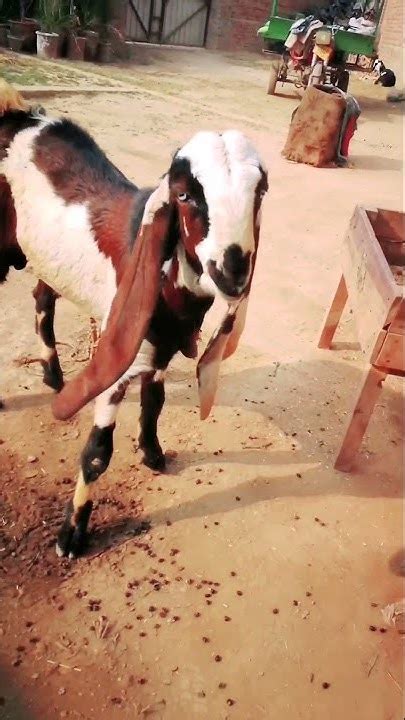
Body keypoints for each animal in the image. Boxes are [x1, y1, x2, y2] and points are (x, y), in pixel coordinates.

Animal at [0, 81, 268, 558]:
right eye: (183, 195)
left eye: (261, 193)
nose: (233, 269)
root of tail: (18, 116)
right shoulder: (121, 361)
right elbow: (97, 452)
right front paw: (72, 534)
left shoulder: (159, 351)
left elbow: (154, 401)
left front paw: (152, 453)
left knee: (43, 297)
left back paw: (53, 373)